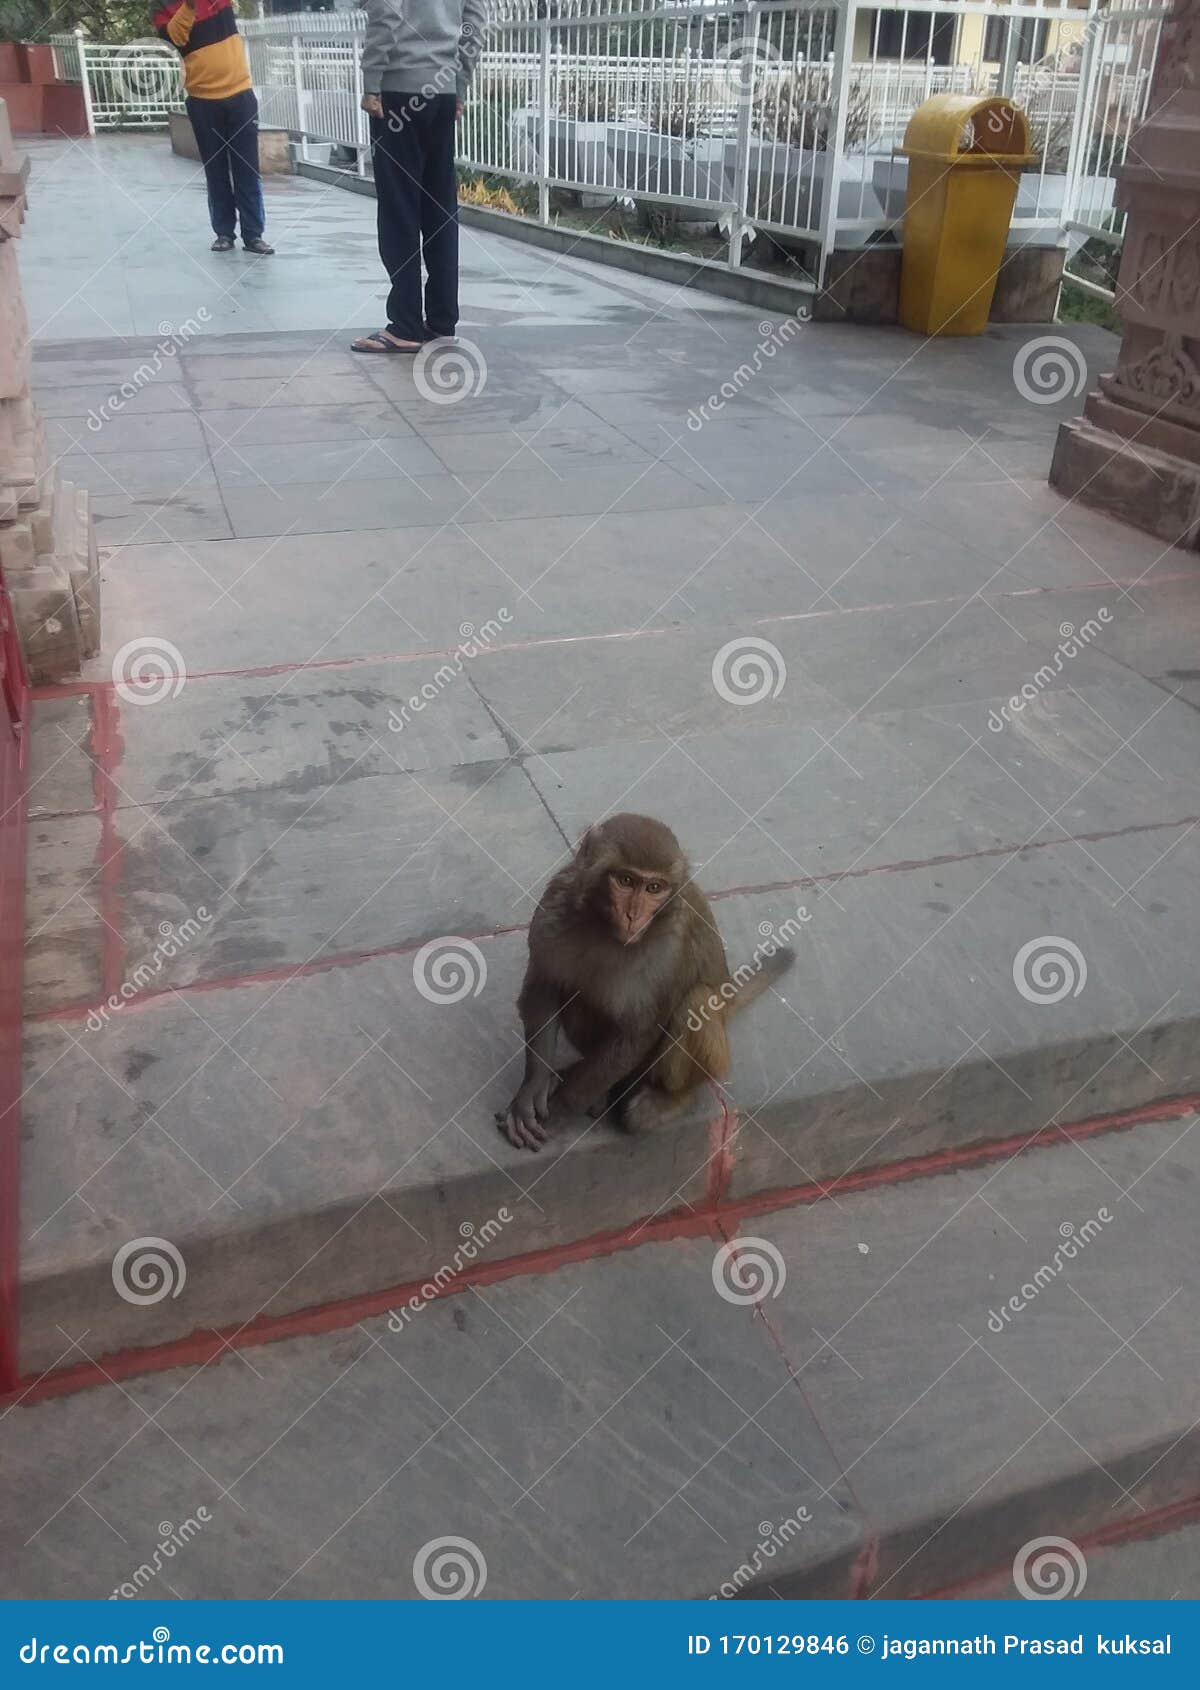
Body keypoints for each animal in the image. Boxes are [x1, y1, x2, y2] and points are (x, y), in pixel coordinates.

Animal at [495, 813, 794, 1151]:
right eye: (625, 880)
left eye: (654, 887)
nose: (633, 915)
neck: (604, 927)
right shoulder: (554, 904)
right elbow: (544, 987)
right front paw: (531, 1091)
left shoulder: (667, 949)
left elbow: (639, 1030)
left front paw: (560, 1110)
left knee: (695, 1002)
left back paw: (671, 1099)